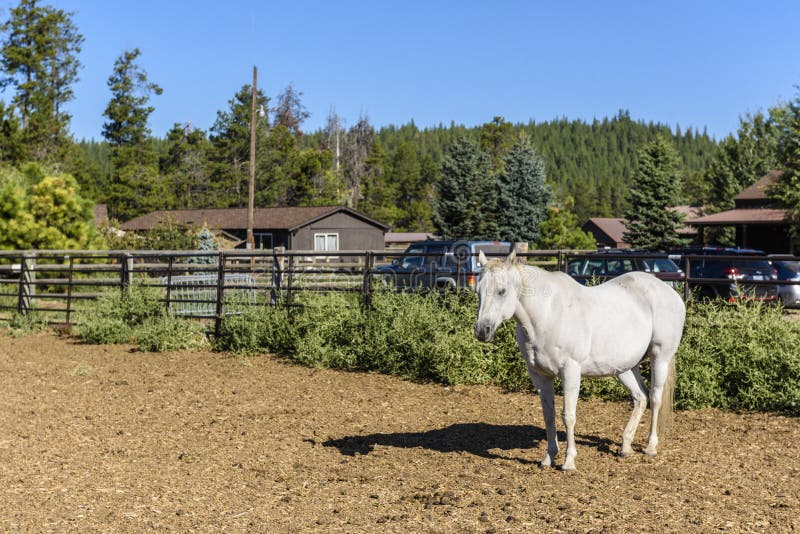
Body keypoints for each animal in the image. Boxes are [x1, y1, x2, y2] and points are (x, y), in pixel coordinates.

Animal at [474, 251, 686, 471]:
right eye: (477, 291)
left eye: (502, 291)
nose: (482, 331)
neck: (547, 315)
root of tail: (670, 293)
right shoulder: (540, 376)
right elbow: (549, 415)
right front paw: (548, 458)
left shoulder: (570, 372)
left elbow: (568, 416)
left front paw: (568, 461)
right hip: (626, 368)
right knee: (640, 397)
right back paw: (626, 447)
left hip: (660, 358)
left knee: (655, 398)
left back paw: (650, 447)